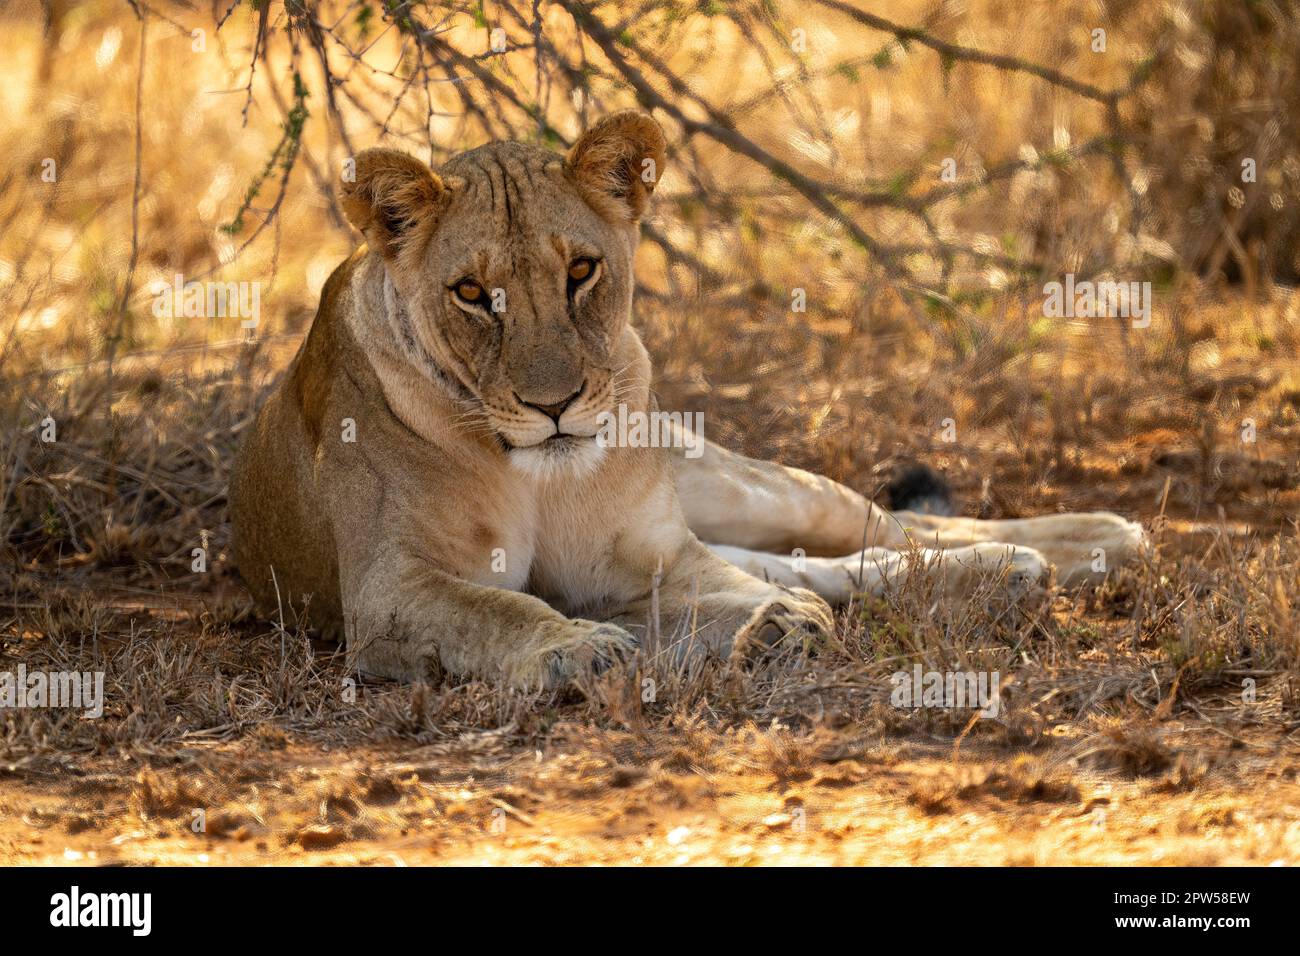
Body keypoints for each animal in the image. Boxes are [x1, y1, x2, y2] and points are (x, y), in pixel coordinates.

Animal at [229, 111, 1144, 689]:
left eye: (581, 270)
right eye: (471, 295)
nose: (555, 405)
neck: (533, 473)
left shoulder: (658, 558)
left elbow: (735, 593)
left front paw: (780, 628)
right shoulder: (387, 592)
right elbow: (494, 610)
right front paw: (574, 650)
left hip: (732, 480)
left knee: (888, 526)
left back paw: (1094, 541)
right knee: (852, 563)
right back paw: (1012, 573)